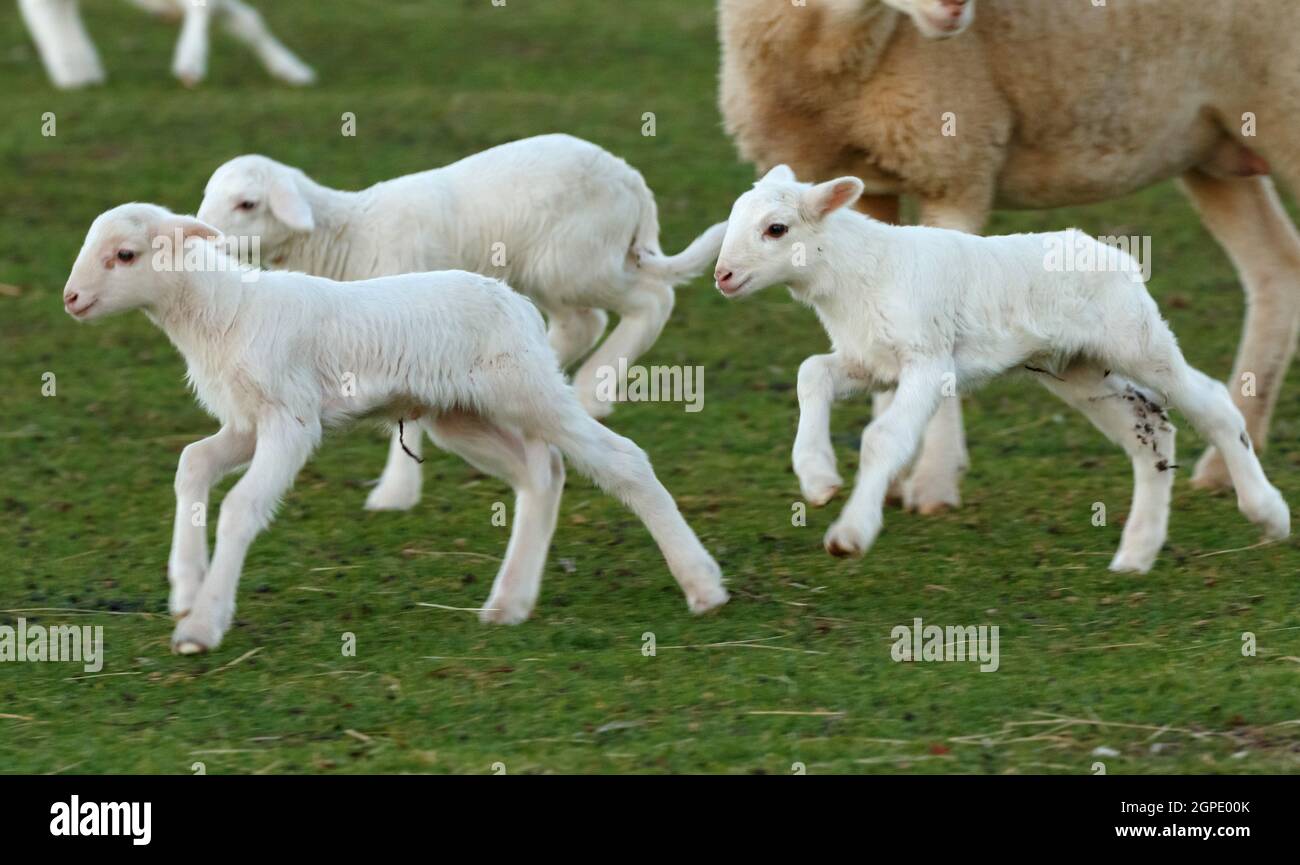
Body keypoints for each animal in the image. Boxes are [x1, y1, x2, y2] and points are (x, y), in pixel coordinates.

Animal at [62, 203, 729, 654]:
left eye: (124, 255)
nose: (70, 299)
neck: (223, 312)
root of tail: (517, 303)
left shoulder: (290, 418)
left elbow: (243, 507)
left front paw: (202, 624)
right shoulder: (248, 422)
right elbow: (193, 462)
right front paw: (185, 588)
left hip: (526, 387)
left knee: (620, 459)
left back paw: (702, 585)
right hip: (460, 415)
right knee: (543, 474)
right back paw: (508, 602)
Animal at [194, 134, 727, 511]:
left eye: (248, 203)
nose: (203, 240)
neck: (348, 235)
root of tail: (631, 176)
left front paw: (395, 492)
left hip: (576, 261)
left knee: (651, 300)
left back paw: (592, 390)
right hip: (553, 269)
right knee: (583, 322)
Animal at [713, 166, 1291, 570]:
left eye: (776, 229)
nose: (722, 276)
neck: (858, 275)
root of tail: (1114, 253)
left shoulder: (929, 360)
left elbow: (882, 438)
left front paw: (850, 533)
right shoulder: (869, 361)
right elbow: (811, 372)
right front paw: (817, 477)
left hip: (1135, 337)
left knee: (1213, 404)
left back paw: (1268, 512)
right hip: (1078, 369)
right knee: (1151, 428)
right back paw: (1136, 554)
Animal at [718, 0, 1300, 511]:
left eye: (775, 229)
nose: (722, 276)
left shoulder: (956, 163)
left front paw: (930, 484)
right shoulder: (867, 180)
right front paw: (866, 481)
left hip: (1276, 107)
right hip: (1212, 146)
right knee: (1276, 266)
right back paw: (1225, 467)